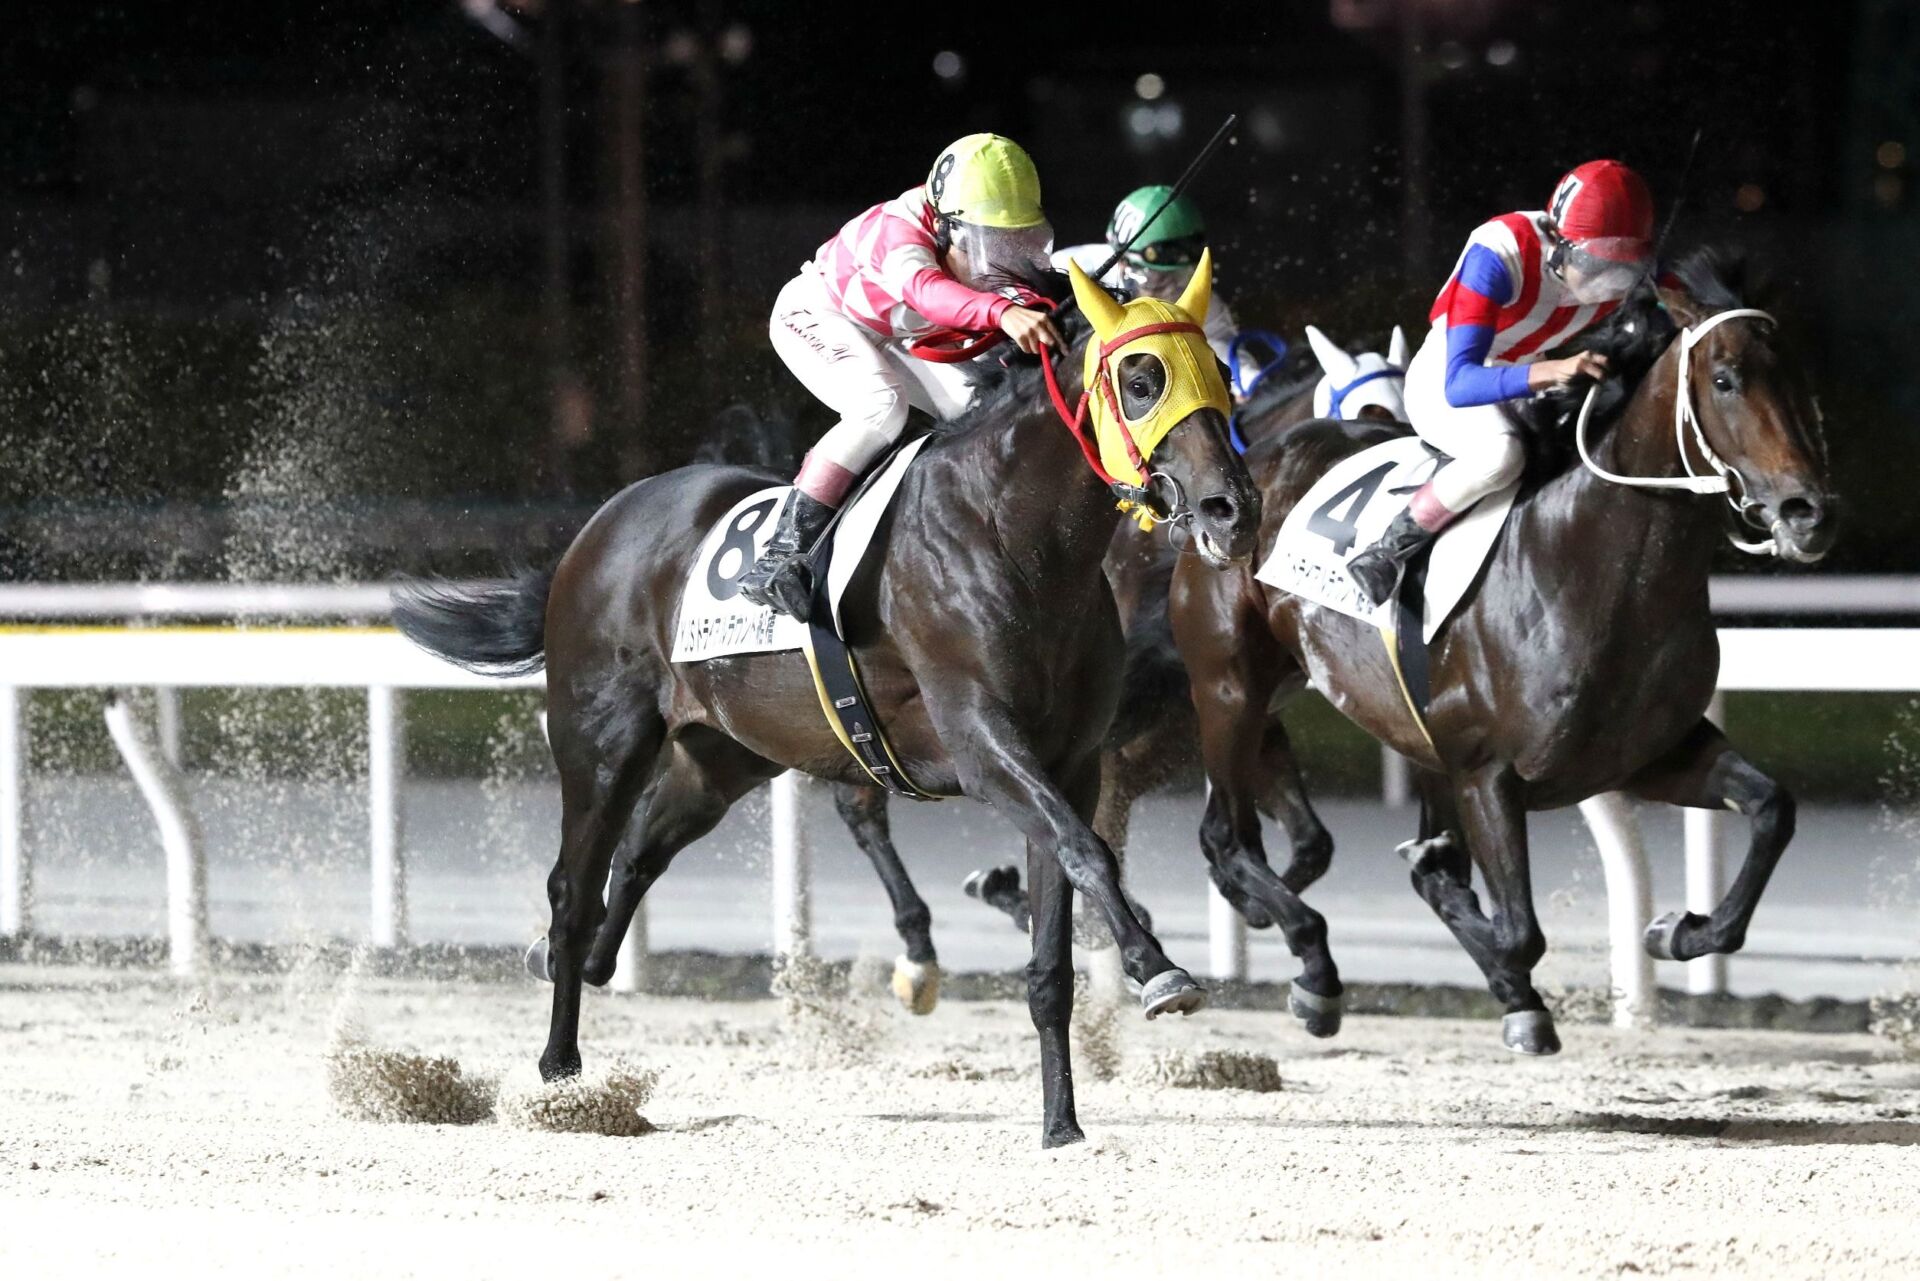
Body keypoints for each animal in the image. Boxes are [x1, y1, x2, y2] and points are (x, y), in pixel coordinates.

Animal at [393, 255, 1262, 1147]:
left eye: (1219, 371)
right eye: (1142, 377)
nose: (1233, 509)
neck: (1012, 533)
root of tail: (599, 525)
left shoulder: (1070, 763)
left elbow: (1057, 935)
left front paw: (1062, 1123)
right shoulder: (984, 744)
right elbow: (1089, 851)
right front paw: (1159, 969)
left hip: (724, 755)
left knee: (636, 854)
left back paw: (590, 968)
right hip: (602, 739)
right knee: (573, 886)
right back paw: (560, 1074)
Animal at [1168, 250, 1836, 1053]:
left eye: (1797, 374)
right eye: (1726, 378)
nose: (1808, 512)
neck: (1588, 564)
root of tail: (1235, 478)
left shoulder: (1646, 754)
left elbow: (1772, 808)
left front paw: (1679, 929)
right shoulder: (1484, 771)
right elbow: (1515, 930)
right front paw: (1513, 982)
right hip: (1229, 685)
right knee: (1223, 838)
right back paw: (1313, 969)